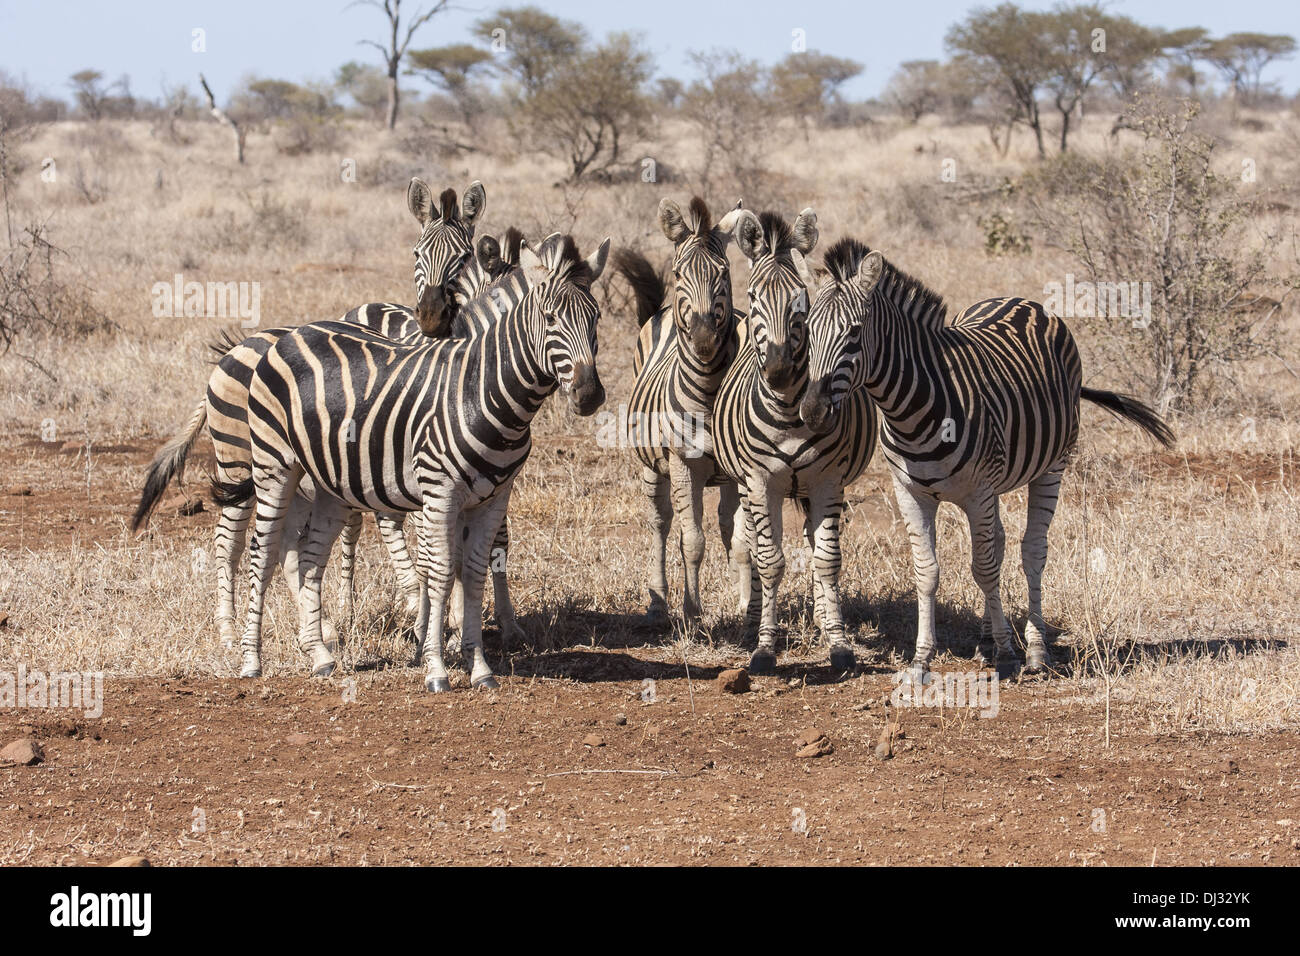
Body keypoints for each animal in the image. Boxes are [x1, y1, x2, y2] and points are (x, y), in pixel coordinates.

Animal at [234, 233, 610, 691]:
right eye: (551, 318)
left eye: (596, 318)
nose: (589, 395)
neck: (483, 390)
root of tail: (293, 332)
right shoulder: (440, 492)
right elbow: (442, 570)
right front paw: (434, 664)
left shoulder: (494, 497)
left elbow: (476, 568)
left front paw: (478, 665)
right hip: (273, 465)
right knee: (263, 554)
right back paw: (251, 661)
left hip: (330, 484)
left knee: (309, 560)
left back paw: (320, 655)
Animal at [616, 197, 744, 626]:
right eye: (678, 272)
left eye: (725, 273)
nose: (704, 339)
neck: (709, 390)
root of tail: (663, 311)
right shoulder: (684, 463)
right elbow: (693, 540)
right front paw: (692, 612)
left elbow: (741, 540)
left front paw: (748, 606)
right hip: (652, 465)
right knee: (660, 521)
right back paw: (658, 602)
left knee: (726, 524)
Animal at [710, 208, 878, 675]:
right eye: (753, 295)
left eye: (800, 298)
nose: (781, 370)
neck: (789, 412)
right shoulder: (760, 481)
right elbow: (769, 562)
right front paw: (764, 648)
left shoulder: (828, 481)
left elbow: (827, 559)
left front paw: (838, 642)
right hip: (747, 489)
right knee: (751, 546)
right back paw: (751, 623)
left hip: (812, 488)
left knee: (813, 539)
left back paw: (822, 616)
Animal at [799, 237, 1175, 680]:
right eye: (806, 331)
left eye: (855, 332)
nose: (812, 412)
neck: (913, 410)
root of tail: (1022, 300)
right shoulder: (910, 492)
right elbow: (928, 572)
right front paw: (922, 659)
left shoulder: (978, 491)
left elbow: (985, 568)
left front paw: (1010, 655)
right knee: (999, 542)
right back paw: (985, 643)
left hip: (1052, 465)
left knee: (1032, 551)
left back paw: (1034, 650)